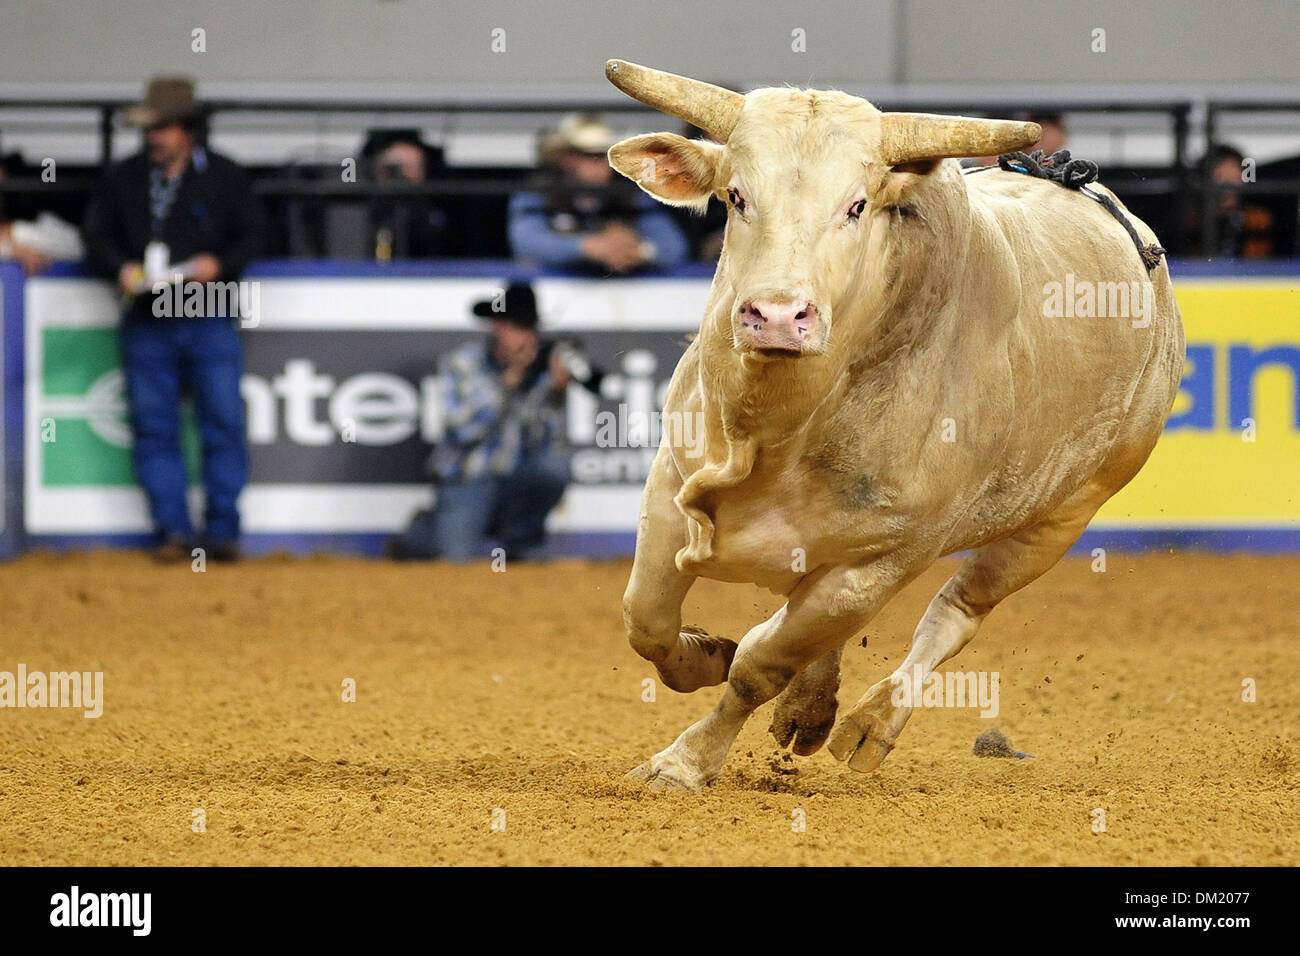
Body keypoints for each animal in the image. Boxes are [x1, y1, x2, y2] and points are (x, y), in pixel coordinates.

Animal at [605, 59, 1185, 792]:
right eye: (736, 196)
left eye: (856, 206)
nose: (776, 316)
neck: (775, 435)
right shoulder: (670, 484)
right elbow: (646, 618)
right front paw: (704, 655)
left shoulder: (883, 561)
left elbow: (761, 664)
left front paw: (683, 763)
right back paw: (810, 704)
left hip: (1063, 515)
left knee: (953, 615)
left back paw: (871, 722)